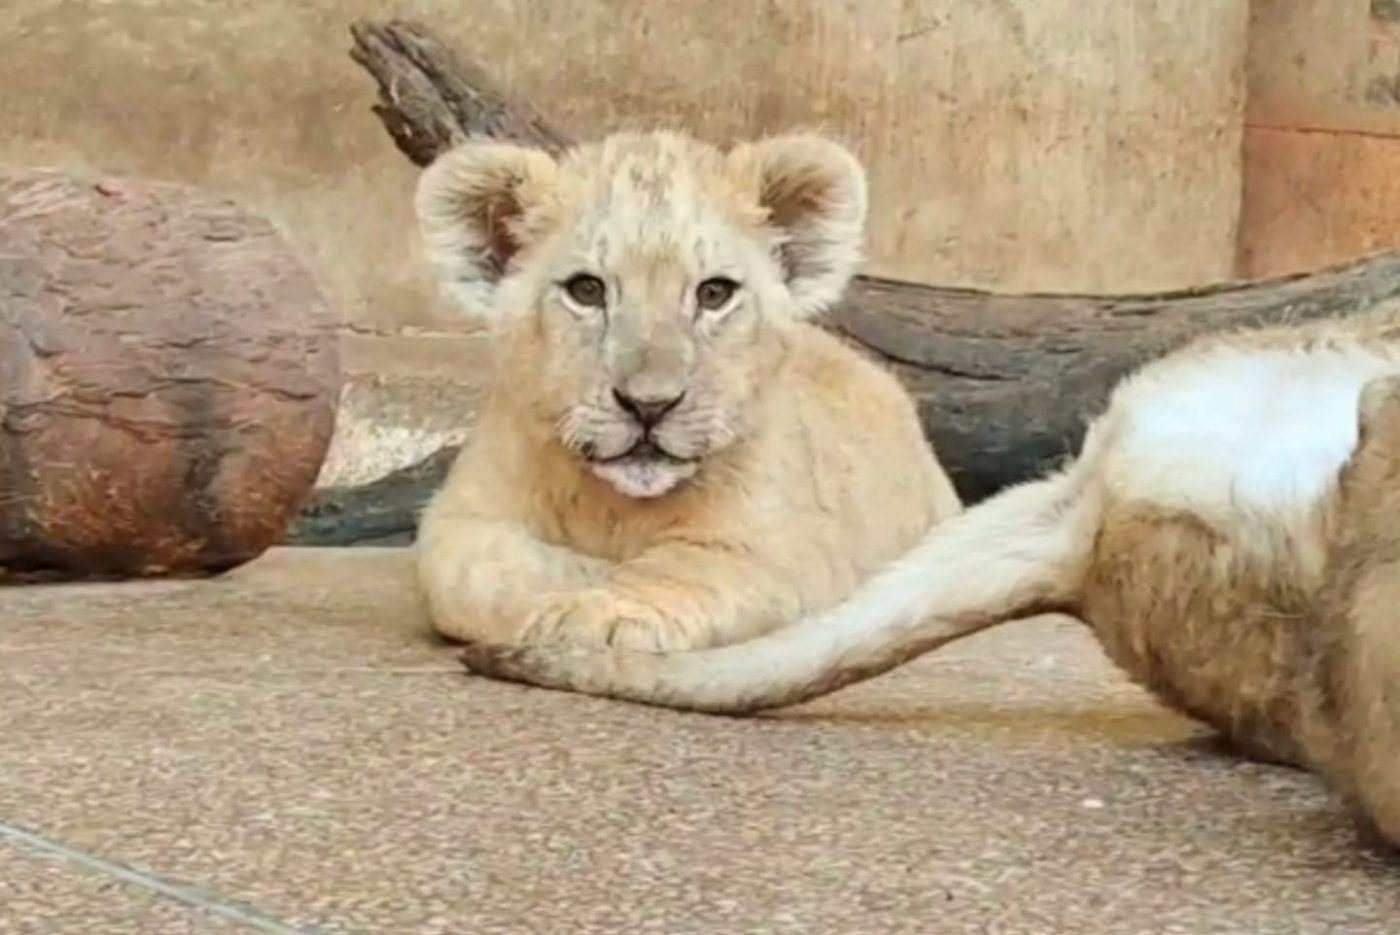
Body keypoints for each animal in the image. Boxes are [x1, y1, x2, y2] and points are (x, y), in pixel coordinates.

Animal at [412, 129, 962, 653]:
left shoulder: (788, 552)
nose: (649, 406)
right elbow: (471, 572)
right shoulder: (460, 516)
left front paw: (598, 610)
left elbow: (683, 569)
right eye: (587, 290)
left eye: (714, 293)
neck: (615, 508)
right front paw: (577, 580)